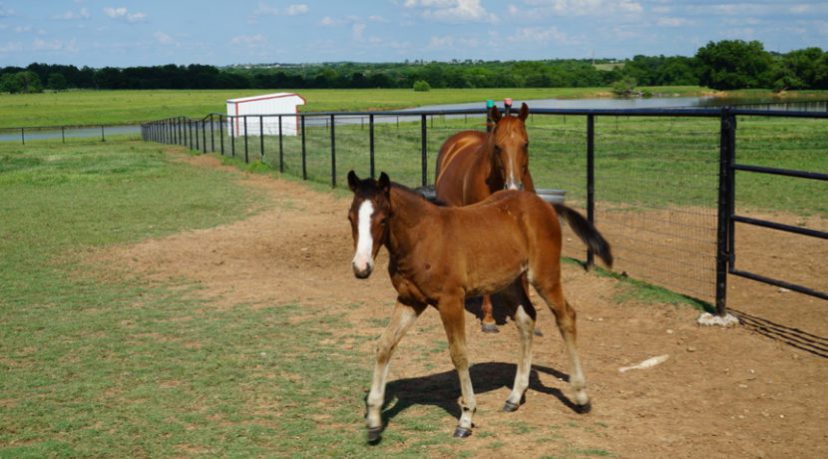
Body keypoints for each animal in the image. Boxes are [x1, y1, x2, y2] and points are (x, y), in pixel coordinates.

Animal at [346, 170, 613, 442]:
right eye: (351, 217)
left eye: (382, 219)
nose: (361, 268)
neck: (422, 238)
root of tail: (545, 205)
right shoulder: (410, 300)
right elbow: (384, 345)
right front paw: (373, 420)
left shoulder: (451, 301)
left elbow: (459, 354)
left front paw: (466, 418)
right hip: (508, 282)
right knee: (526, 319)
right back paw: (515, 396)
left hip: (544, 276)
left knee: (566, 316)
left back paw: (581, 397)